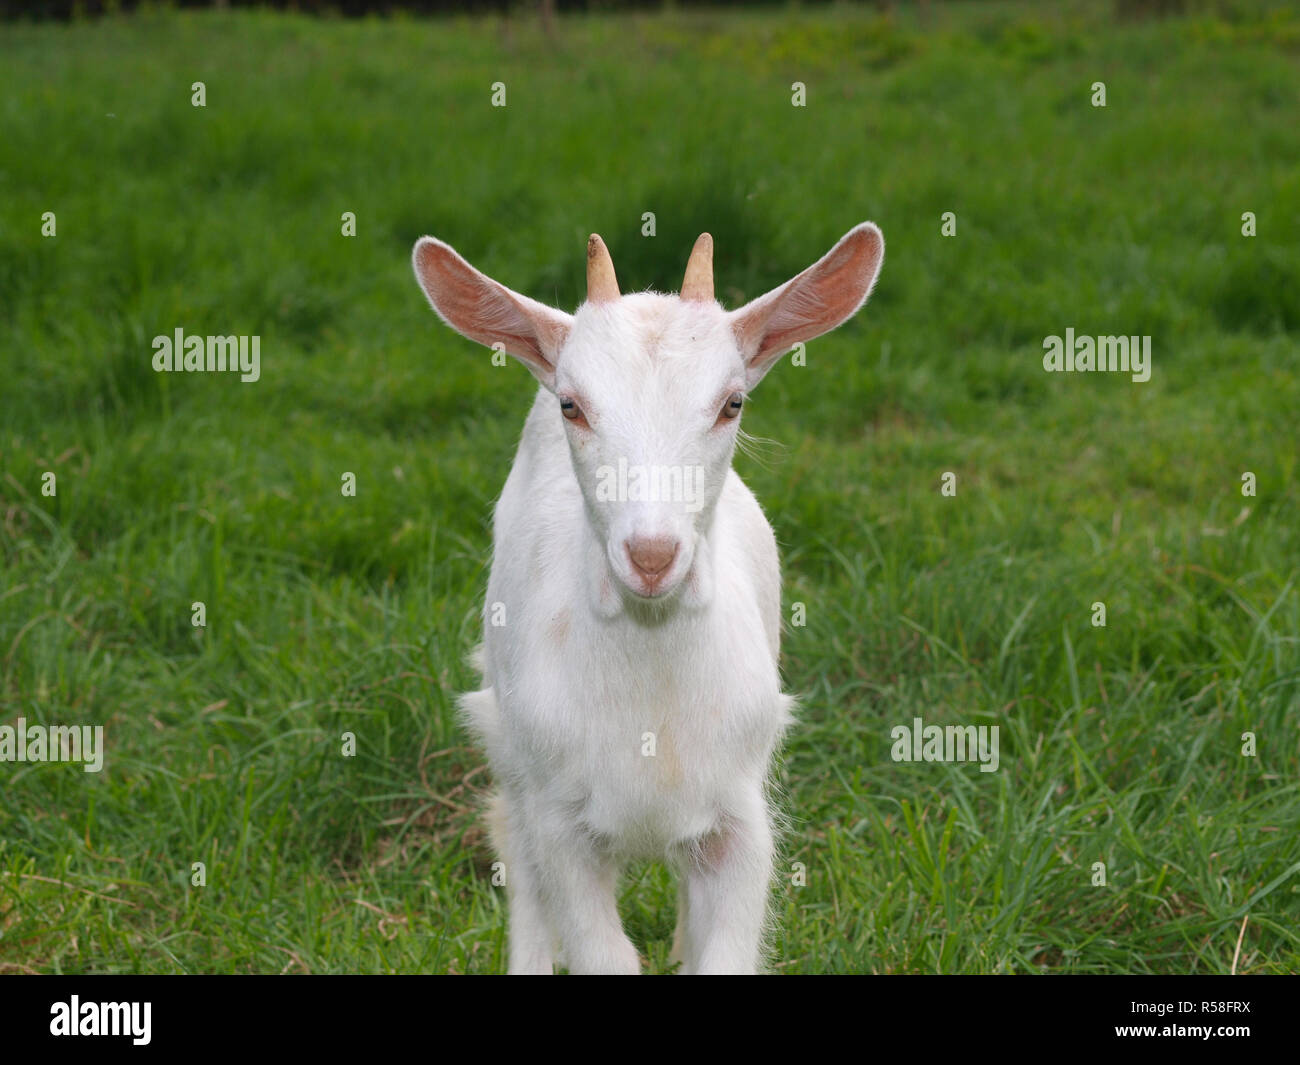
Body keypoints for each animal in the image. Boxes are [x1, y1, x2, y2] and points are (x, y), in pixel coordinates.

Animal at [412, 223, 884, 974]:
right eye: (572, 404)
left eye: (732, 402)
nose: (653, 555)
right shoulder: (560, 820)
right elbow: (593, 942)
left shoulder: (740, 819)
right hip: (507, 743)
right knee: (517, 857)